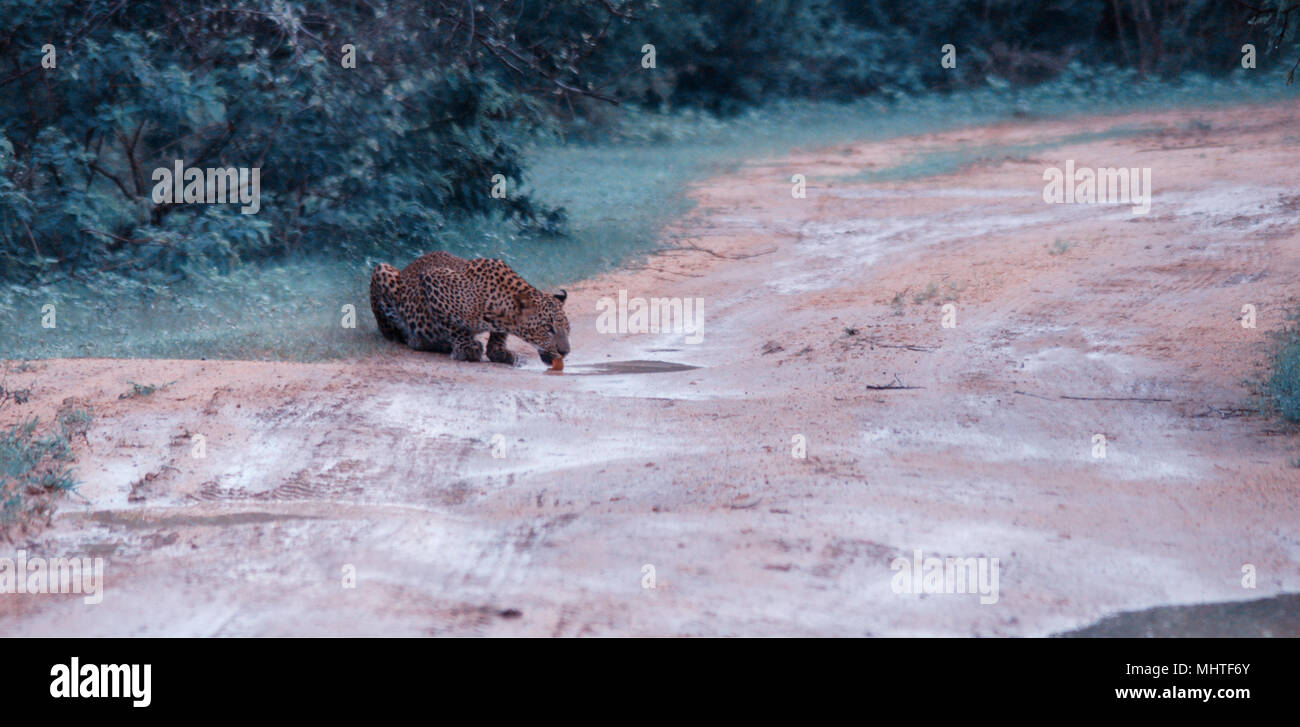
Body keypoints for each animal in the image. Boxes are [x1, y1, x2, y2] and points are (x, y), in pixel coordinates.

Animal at [369, 251, 570, 366]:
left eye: (568, 330)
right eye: (548, 328)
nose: (565, 352)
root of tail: (407, 267)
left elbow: (499, 335)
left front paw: (499, 352)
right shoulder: (432, 279)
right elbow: (451, 325)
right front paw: (467, 348)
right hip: (382, 270)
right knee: (395, 333)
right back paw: (421, 340)